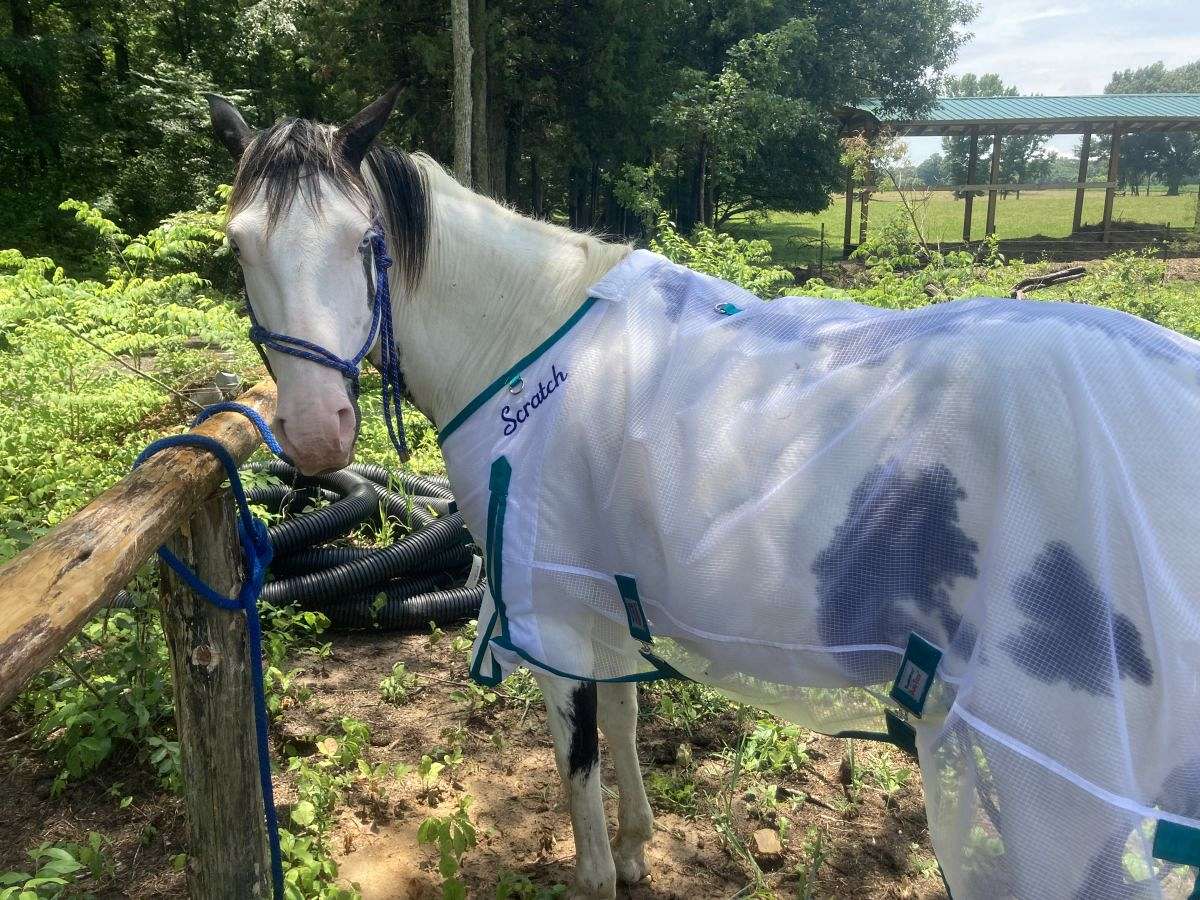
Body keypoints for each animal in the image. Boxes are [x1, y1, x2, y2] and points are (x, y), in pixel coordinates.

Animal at [206, 88, 1200, 899]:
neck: (527, 336)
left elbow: (580, 766)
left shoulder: (551, 612)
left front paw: (605, 868)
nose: (317, 432)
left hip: (1054, 793)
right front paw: (642, 846)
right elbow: (623, 712)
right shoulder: (600, 592)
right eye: (239, 245)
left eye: (361, 241)